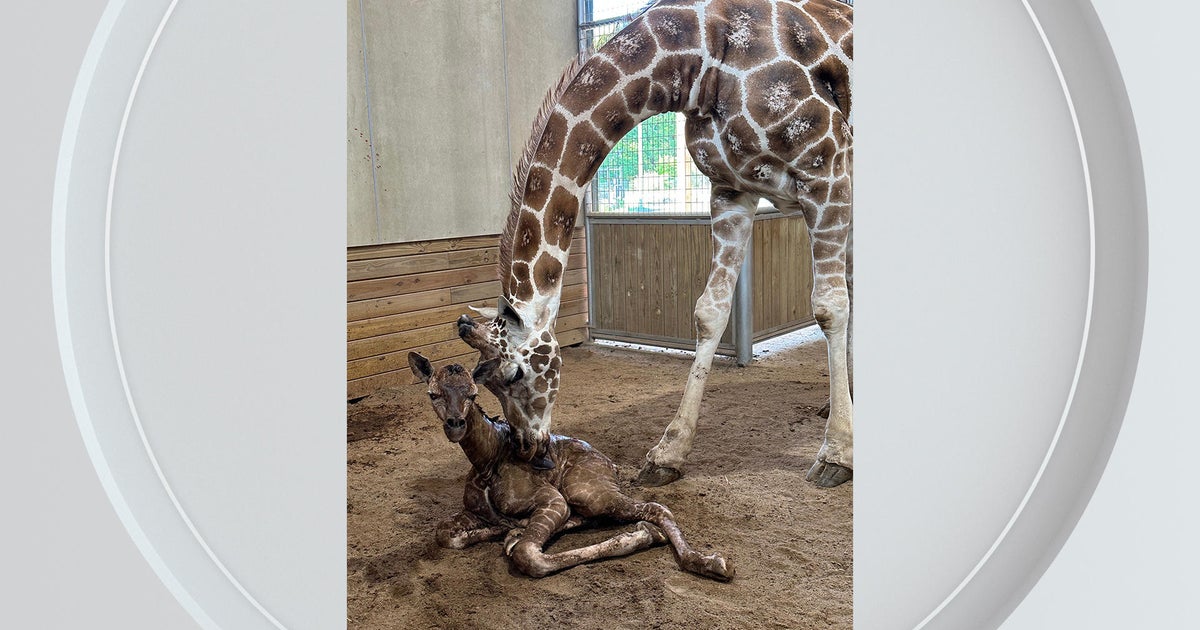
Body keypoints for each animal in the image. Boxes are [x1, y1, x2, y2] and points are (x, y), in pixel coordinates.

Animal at [408, 352, 734, 580]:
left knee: (656, 508)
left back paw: (707, 561)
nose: (455, 425)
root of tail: (611, 465)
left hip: (585, 492)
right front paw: (507, 530)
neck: (488, 460)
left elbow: (530, 556)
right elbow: (444, 533)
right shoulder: (474, 512)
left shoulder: (552, 500)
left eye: (473, 393)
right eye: (433, 394)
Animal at [457, 0, 854, 487]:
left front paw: (836, 454)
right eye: (485, 382)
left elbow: (828, 307)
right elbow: (709, 312)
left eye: (513, 374)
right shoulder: (731, 191)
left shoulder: (826, 173)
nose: (528, 449)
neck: (701, 58)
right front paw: (668, 453)